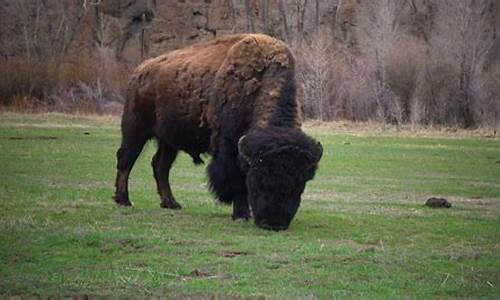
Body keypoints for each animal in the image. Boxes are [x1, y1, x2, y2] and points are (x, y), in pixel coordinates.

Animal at [114, 33, 322, 230]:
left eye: (299, 185)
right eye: (257, 181)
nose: (273, 224)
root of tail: (139, 71)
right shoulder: (230, 150)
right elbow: (237, 182)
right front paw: (241, 215)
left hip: (169, 141)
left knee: (160, 166)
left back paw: (171, 203)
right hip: (135, 130)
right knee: (126, 159)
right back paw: (123, 200)